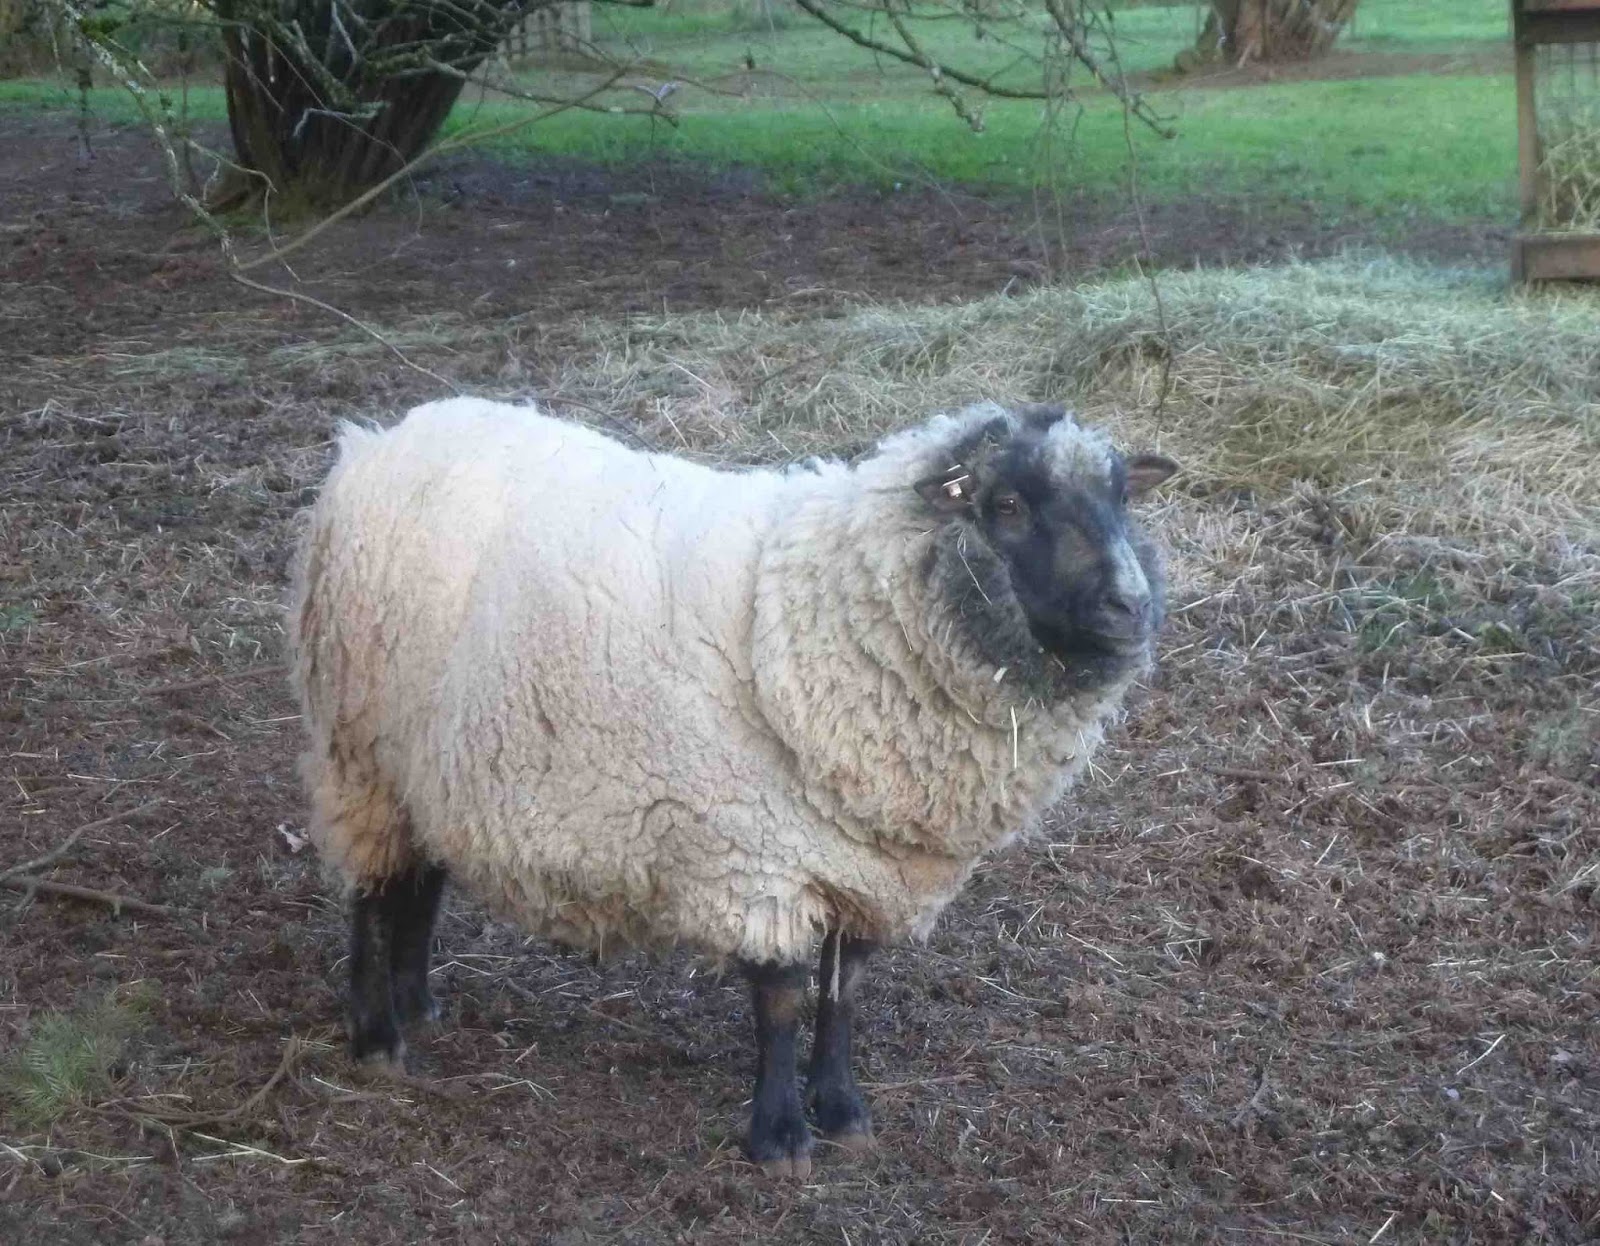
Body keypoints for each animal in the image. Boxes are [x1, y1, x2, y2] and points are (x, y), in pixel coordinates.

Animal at [289, 395, 1177, 1177]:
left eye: (1123, 497)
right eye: (1007, 504)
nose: (1131, 607)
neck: (828, 615)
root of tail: (378, 439)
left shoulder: (870, 863)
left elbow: (845, 990)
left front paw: (843, 1111)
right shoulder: (757, 858)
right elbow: (781, 1000)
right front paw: (780, 1138)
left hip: (432, 760)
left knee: (421, 879)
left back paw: (418, 1006)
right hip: (360, 748)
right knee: (372, 892)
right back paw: (378, 1039)